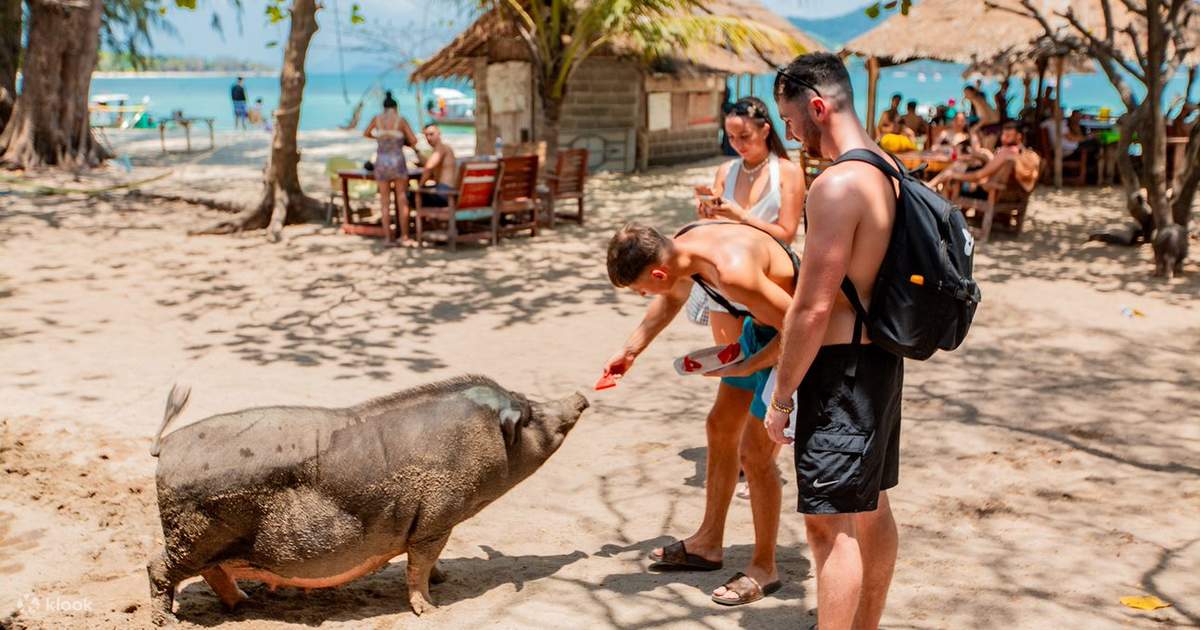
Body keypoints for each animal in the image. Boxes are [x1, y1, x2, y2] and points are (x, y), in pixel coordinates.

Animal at [146, 375, 589, 625]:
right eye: (530, 415)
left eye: (527, 401)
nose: (581, 396)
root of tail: (165, 447)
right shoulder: (436, 517)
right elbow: (418, 564)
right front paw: (432, 611)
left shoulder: (434, 524)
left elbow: (428, 563)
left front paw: (444, 580)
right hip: (193, 536)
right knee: (157, 568)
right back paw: (168, 623)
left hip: (208, 541)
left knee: (212, 573)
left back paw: (244, 603)